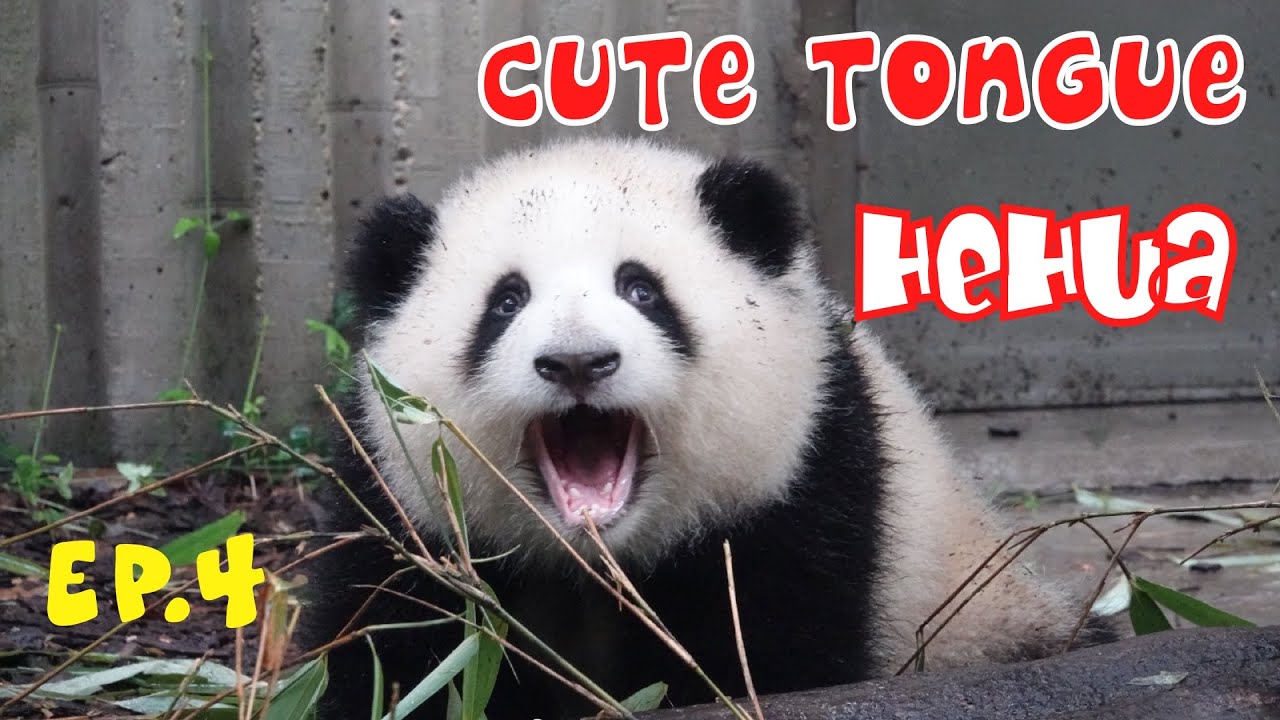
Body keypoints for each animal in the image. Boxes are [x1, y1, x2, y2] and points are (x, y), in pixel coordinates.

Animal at [303, 136, 1113, 719]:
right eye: (506, 302)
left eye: (641, 289)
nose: (577, 361)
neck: (601, 561)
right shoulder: (400, 504)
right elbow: (391, 647)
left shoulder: (807, 480)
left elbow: (774, 647)